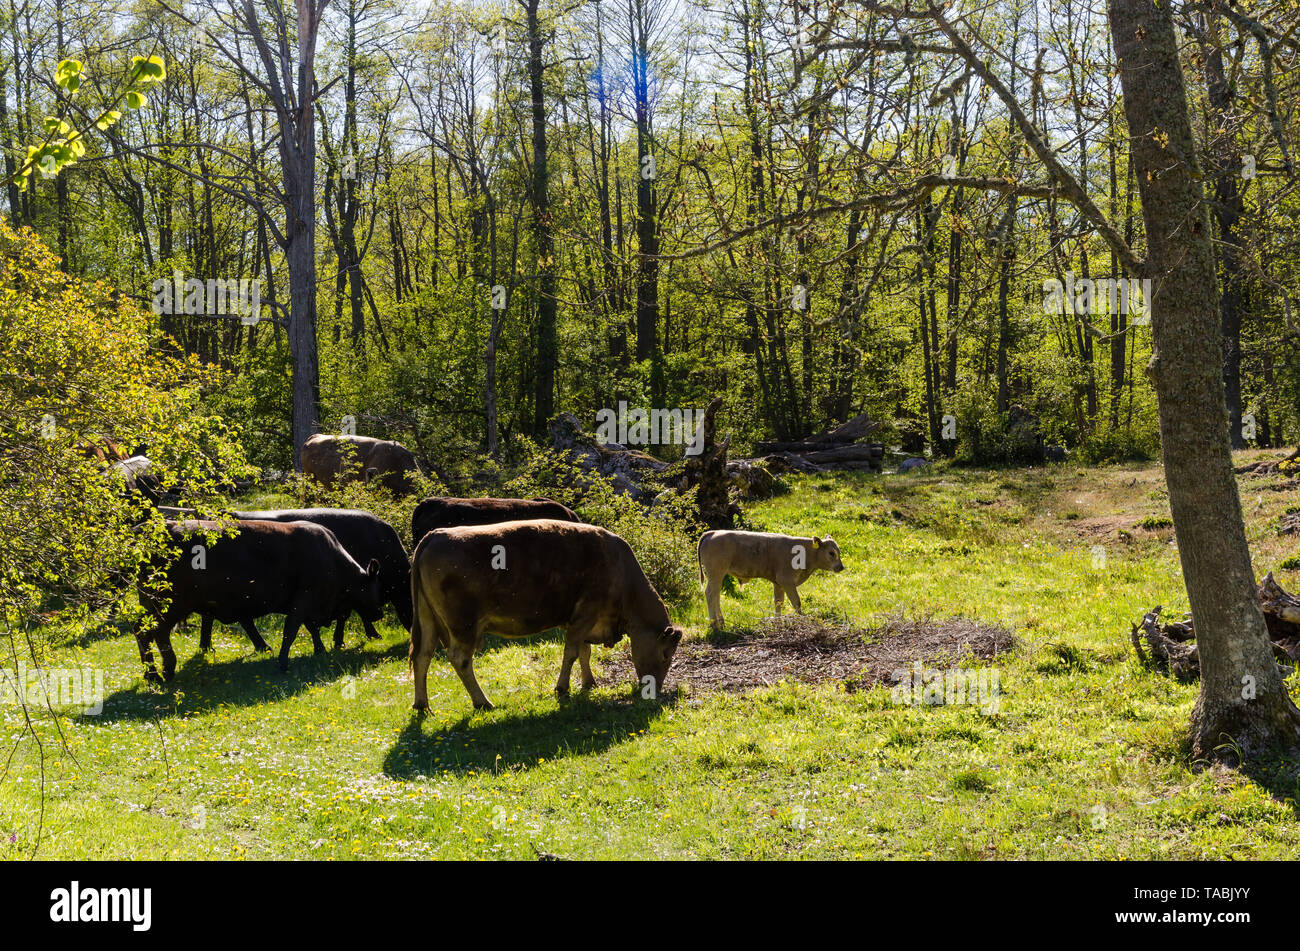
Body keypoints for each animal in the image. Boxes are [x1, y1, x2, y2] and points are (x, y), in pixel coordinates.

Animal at [135, 519, 383, 681]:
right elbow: (292, 630)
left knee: (141, 632)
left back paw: (151, 673)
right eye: (374, 587)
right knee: (158, 632)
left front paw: (319, 650)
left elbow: (309, 628)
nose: (379, 613)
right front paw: (283, 662)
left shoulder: (303, 603)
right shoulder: (304, 598)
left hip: (149, 604)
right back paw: (167, 669)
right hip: (170, 604)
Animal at [409, 519, 682, 711]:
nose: (655, 689)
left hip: (427, 620)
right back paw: (483, 702)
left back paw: (422, 704)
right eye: (666, 654)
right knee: (460, 659)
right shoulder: (586, 613)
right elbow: (572, 652)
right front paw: (562, 688)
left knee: (422, 656)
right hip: (463, 625)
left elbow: (584, 651)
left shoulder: (578, 619)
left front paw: (589, 683)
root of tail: (435, 535)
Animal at [697, 530, 845, 630]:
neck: (804, 553)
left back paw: (721, 622)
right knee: (710, 594)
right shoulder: (787, 581)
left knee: (716, 595)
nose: (841, 567)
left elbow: (778, 602)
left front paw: (777, 622)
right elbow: (796, 602)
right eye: (831, 553)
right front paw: (802, 620)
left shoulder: (778, 584)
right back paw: (714, 624)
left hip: (717, 576)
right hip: (716, 573)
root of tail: (713, 532)